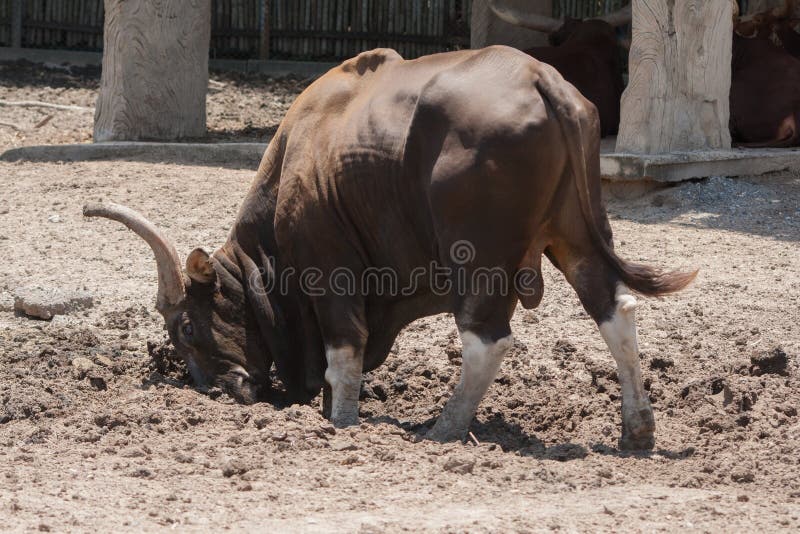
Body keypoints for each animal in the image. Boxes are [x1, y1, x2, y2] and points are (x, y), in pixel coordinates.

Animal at [84, 46, 695, 450]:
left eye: (187, 328)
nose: (217, 390)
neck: (302, 154)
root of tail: (539, 76)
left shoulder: (329, 269)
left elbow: (343, 352)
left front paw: (341, 422)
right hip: (574, 235)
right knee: (616, 310)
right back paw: (637, 430)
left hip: (477, 257)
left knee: (487, 338)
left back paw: (445, 428)